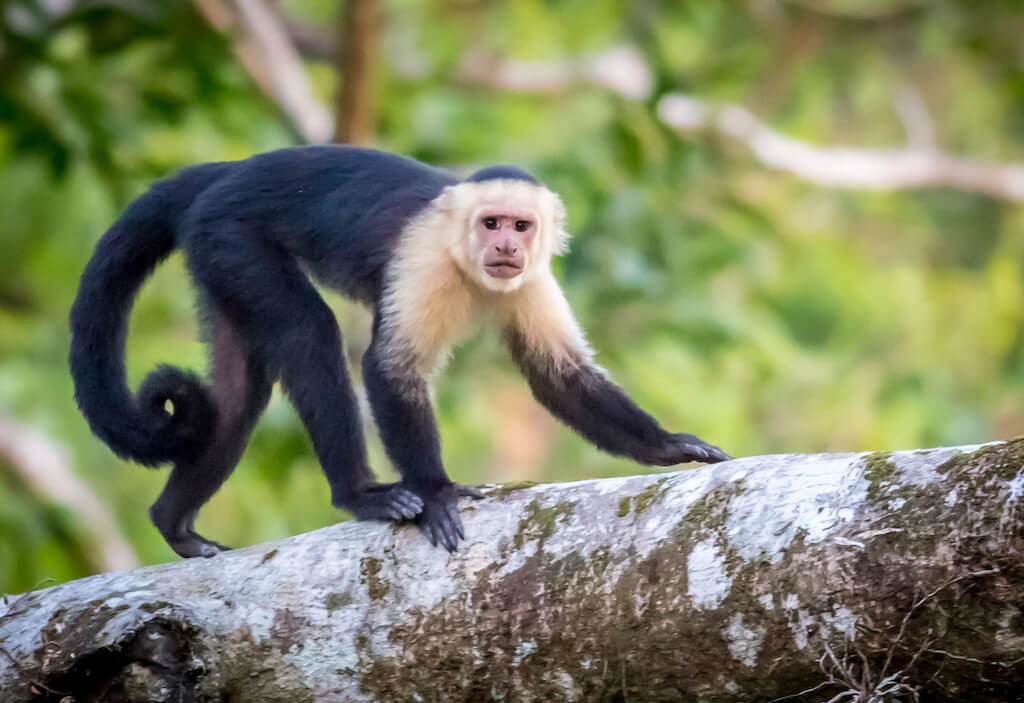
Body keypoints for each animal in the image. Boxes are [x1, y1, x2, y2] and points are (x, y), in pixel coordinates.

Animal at [69, 145, 729, 558]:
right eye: (491, 223)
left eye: (521, 226)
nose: (506, 248)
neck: (468, 263)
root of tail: (227, 172)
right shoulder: (425, 260)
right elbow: (389, 369)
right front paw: (434, 491)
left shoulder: (534, 278)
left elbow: (559, 376)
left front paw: (667, 446)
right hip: (231, 235)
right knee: (309, 334)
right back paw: (360, 496)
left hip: (215, 253)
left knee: (237, 393)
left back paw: (175, 525)